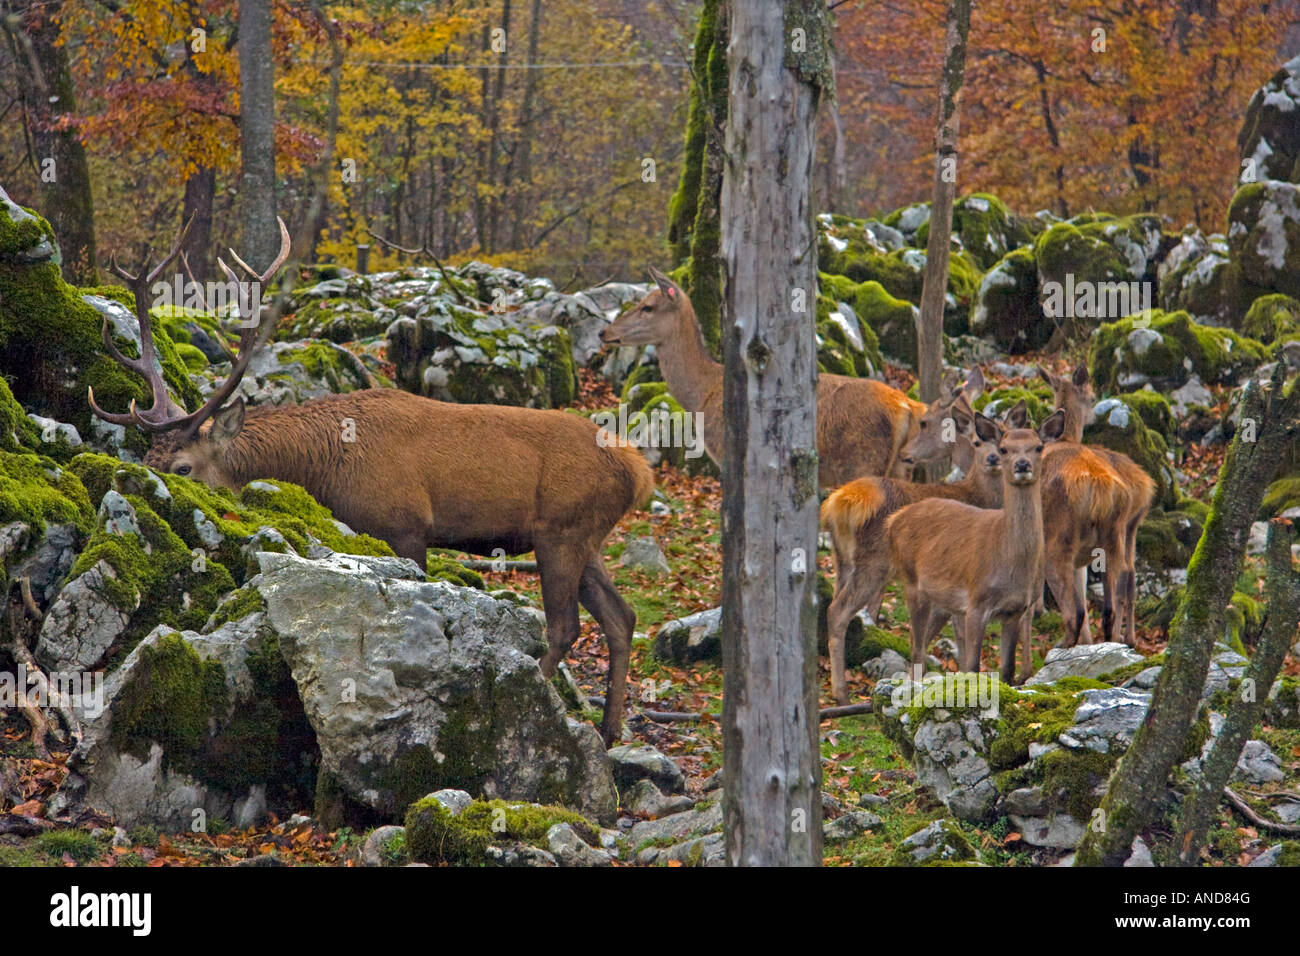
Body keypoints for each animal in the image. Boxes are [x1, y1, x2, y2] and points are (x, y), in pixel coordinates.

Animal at [87, 220, 653, 746]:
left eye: (183, 467)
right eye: (149, 454)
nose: (138, 483)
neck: (330, 468)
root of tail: (638, 469)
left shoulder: (406, 525)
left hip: (561, 528)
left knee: (565, 627)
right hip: (586, 537)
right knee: (621, 617)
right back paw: (608, 731)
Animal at [599, 268, 928, 488]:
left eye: (647, 307)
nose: (605, 332)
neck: (703, 394)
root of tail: (908, 407)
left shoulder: (729, 456)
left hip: (862, 462)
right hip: (900, 466)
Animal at [820, 371, 1002, 704]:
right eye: (924, 421)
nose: (996, 459)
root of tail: (841, 503)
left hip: (843, 560)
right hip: (874, 564)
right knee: (837, 612)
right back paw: (842, 694)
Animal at [887, 408, 1066, 684]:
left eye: (1038, 447)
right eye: (1004, 449)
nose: (1022, 465)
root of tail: (894, 519)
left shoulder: (1015, 610)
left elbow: (1007, 670)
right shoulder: (976, 603)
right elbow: (972, 666)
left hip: (942, 601)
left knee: (920, 644)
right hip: (912, 582)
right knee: (917, 650)